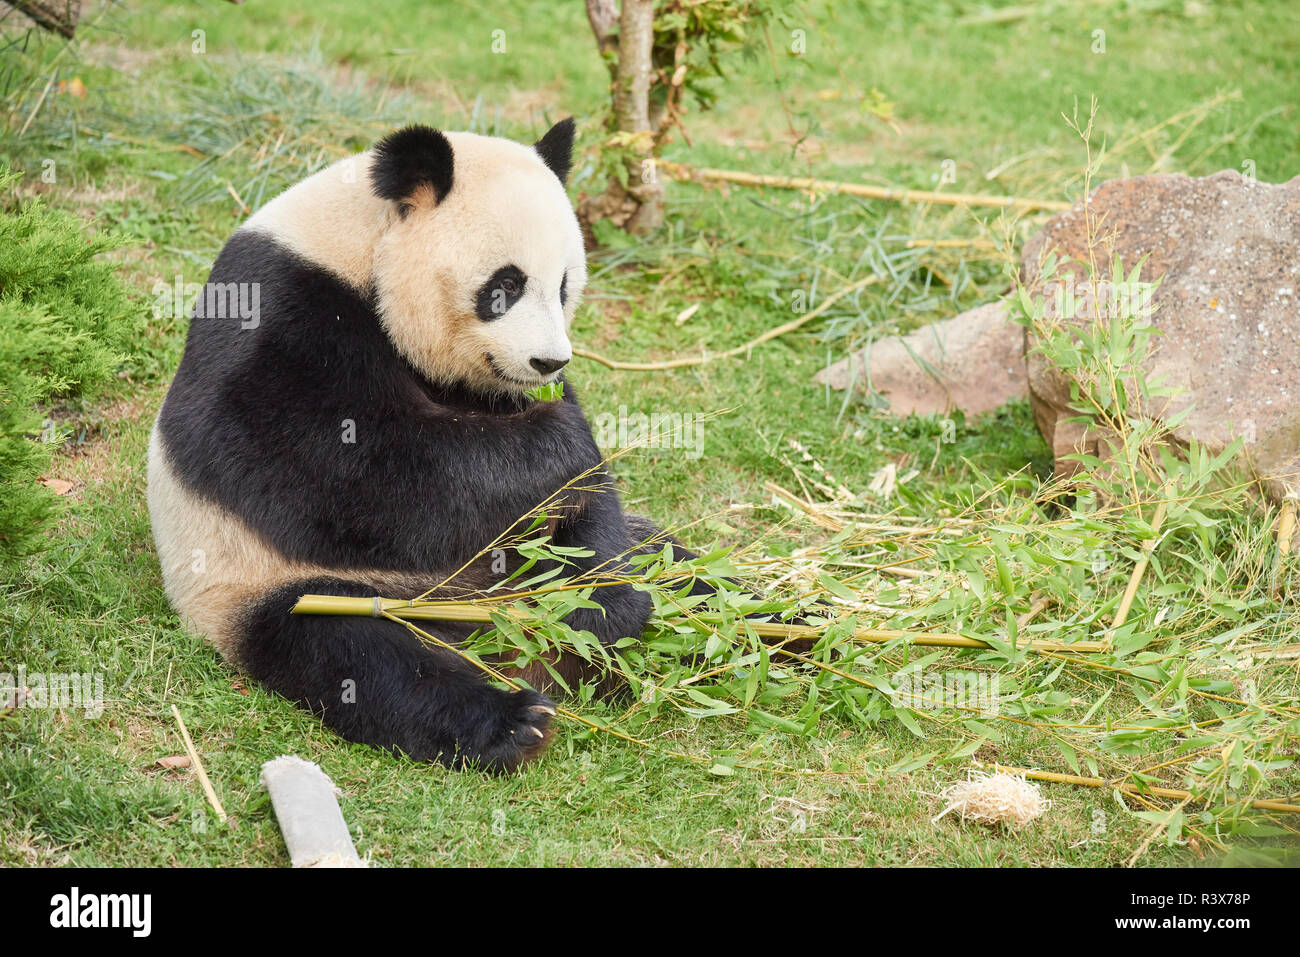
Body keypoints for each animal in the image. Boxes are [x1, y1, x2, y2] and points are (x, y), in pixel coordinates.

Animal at [148, 119, 696, 772]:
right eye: (504, 287)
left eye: (563, 286)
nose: (548, 362)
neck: (359, 247)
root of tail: (496, 634)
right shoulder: (278, 312)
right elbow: (336, 475)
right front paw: (561, 443)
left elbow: (585, 518)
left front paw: (600, 605)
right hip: (279, 586)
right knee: (361, 655)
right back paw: (512, 722)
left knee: (684, 573)